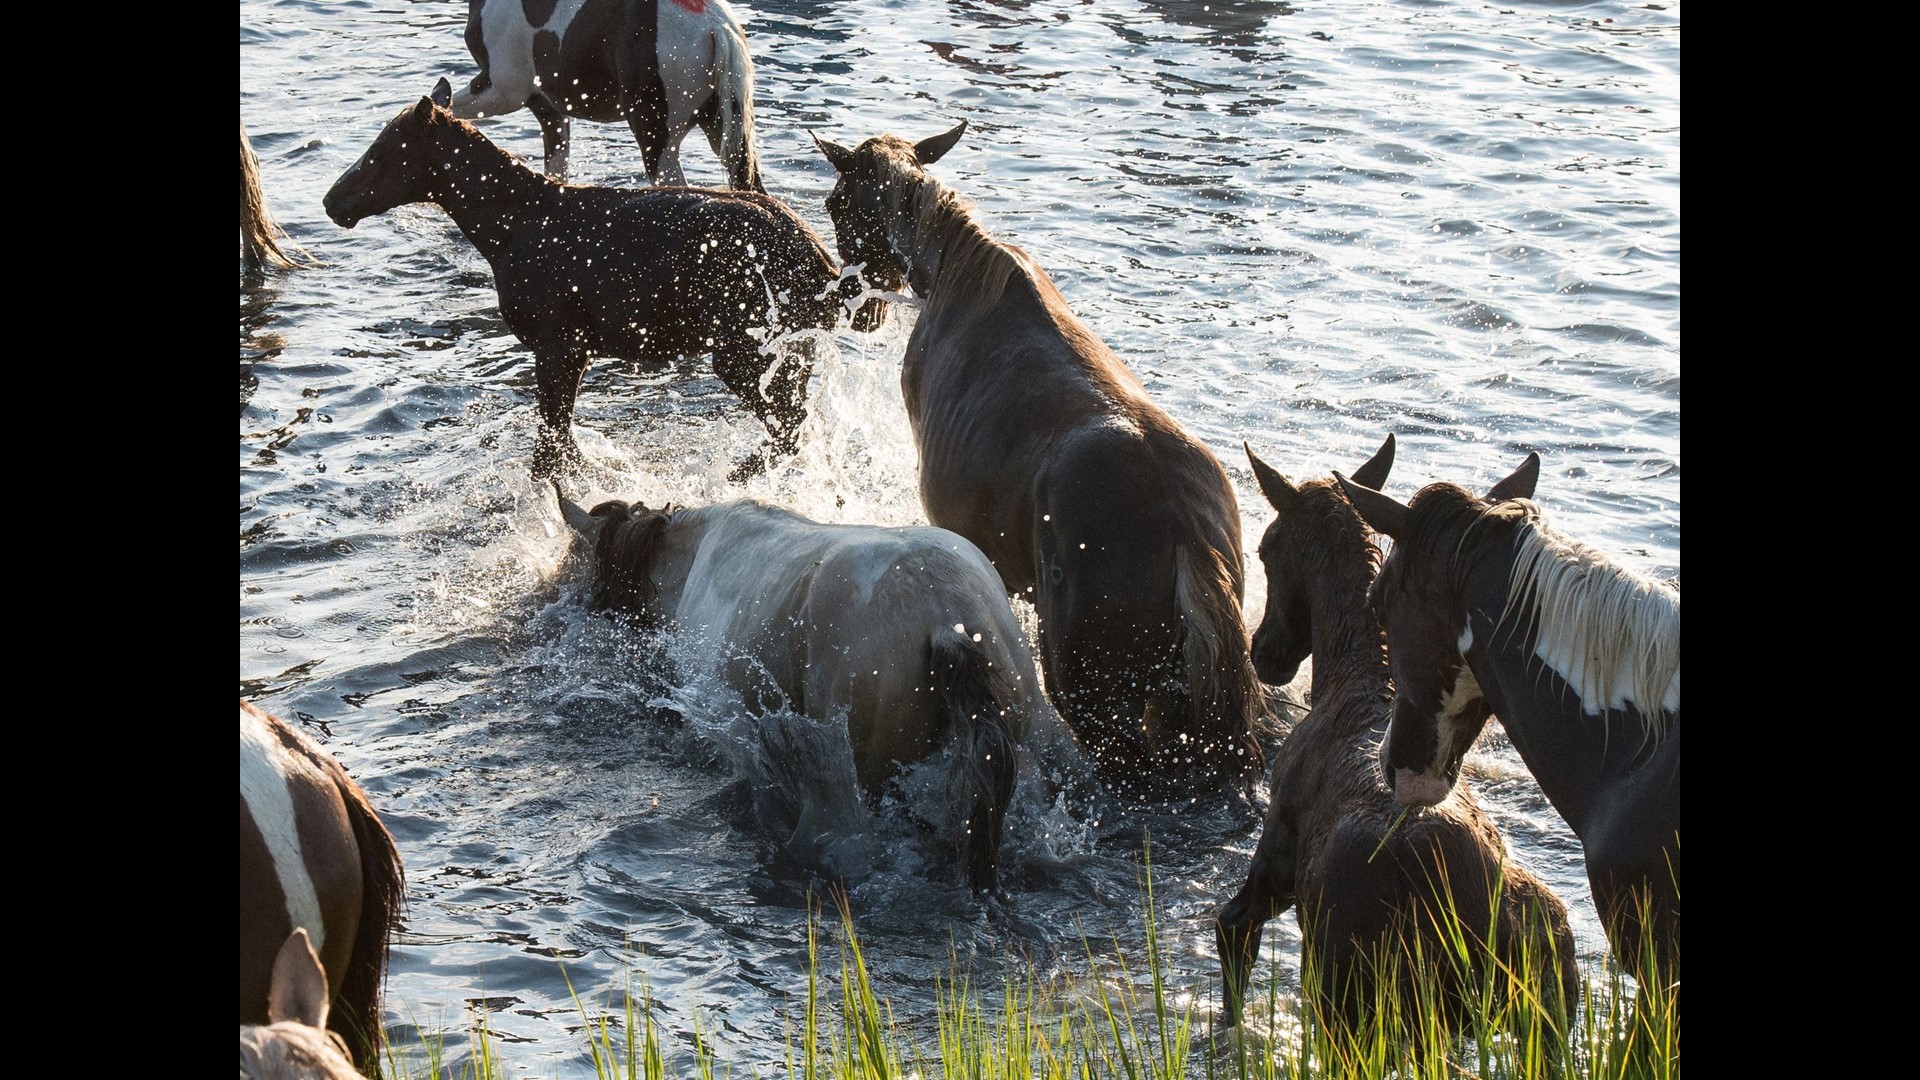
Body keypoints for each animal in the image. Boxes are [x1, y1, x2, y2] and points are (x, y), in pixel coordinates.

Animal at [325, 79, 878, 481]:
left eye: (381, 152)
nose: (333, 201)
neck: (508, 227)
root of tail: (825, 269)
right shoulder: (577, 353)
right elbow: (561, 448)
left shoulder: (558, 346)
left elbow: (549, 453)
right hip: (790, 353)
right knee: (800, 421)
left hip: (742, 352)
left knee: (789, 424)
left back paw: (735, 474)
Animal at [451, 0, 762, 191]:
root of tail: (715, 25)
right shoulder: (550, 111)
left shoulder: (501, 91)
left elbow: (444, 105)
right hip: (724, 132)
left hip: (656, 140)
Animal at [813, 122, 1261, 796]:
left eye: (836, 203)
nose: (850, 296)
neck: (949, 268)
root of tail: (1187, 535)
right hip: (1187, 697)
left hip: (1091, 687)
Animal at [1215, 435, 1577, 1040]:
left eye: (1264, 549)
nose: (1261, 653)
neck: (1353, 672)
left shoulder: (1276, 856)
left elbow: (1232, 927)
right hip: (1549, 985)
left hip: (1346, 1000)